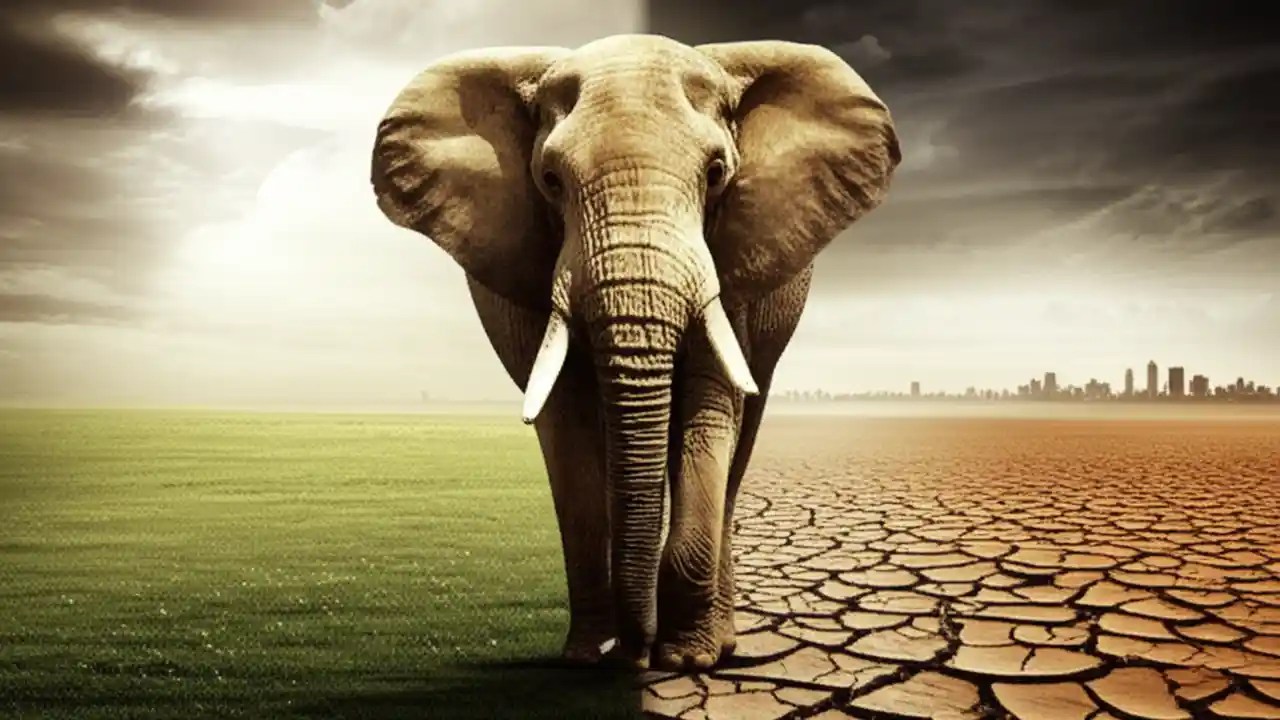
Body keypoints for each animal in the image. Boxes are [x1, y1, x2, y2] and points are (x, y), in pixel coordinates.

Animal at [370, 34, 899, 672]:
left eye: (717, 173)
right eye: (550, 180)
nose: (636, 656)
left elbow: (709, 408)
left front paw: (686, 659)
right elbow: (568, 426)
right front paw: (589, 658)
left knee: (742, 435)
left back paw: (719, 642)